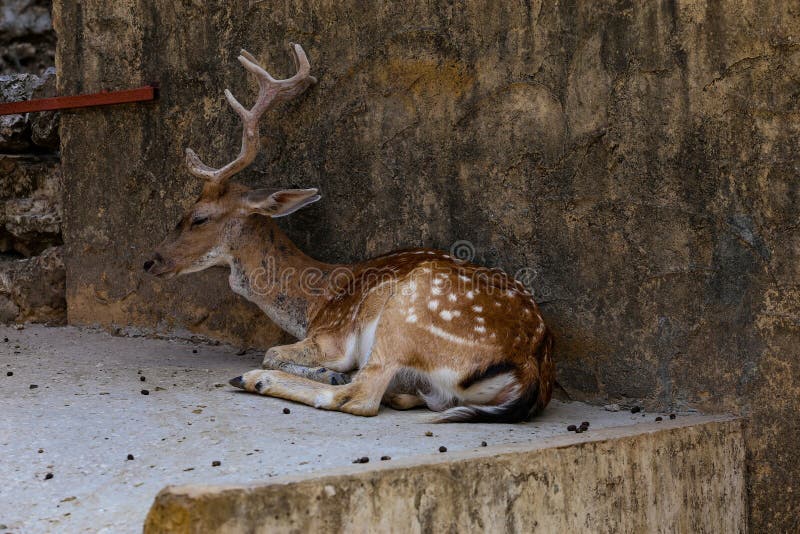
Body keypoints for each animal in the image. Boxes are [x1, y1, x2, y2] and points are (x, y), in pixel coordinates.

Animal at [143, 43, 555, 422]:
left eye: (199, 217)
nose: (151, 261)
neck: (314, 302)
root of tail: (530, 370)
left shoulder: (334, 336)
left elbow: (275, 352)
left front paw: (326, 373)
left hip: (407, 313)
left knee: (361, 395)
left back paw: (257, 378)